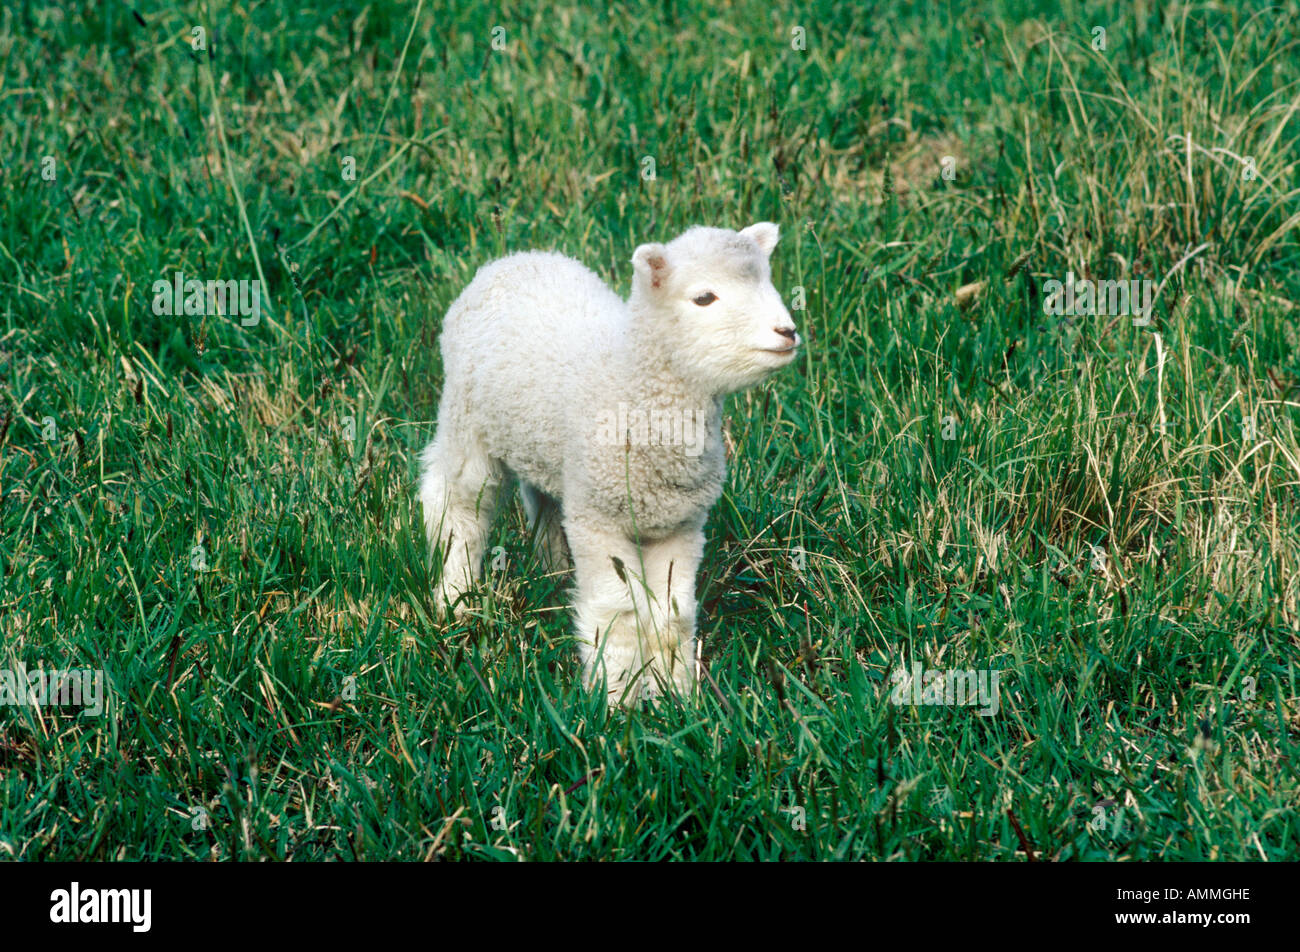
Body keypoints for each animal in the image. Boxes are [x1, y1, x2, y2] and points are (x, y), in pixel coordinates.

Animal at [418, 223, 799, 704]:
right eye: (704, 298)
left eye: (765, 280)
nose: (787, 331)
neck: (627, 381)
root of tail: (514, 259)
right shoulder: (600, 521)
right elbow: (618, 613)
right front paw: (614, 697)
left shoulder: (680, 524)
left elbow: (672, 615)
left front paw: (675, 697)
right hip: (466, 420)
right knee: (456, 503)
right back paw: (455, 597)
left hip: (547, 448)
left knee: (543, 500)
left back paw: (554, 571)